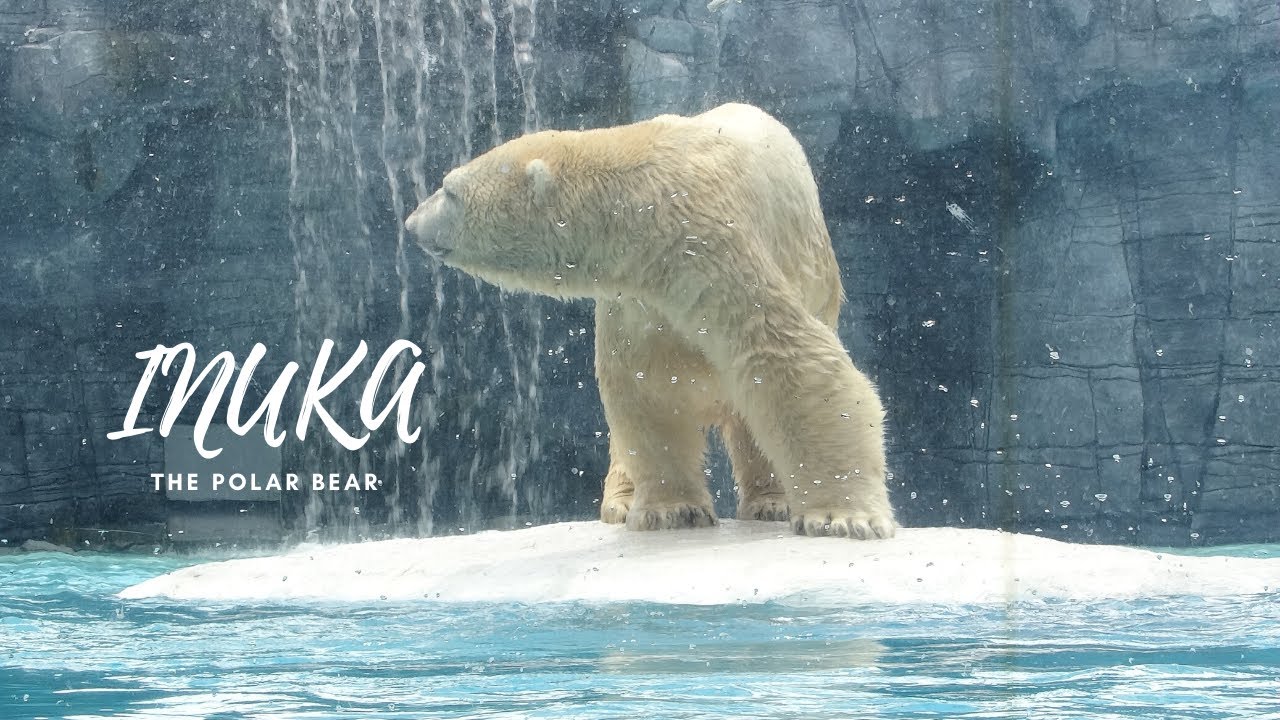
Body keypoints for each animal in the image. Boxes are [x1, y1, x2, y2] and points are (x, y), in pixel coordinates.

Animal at [405, 103, 896, 539]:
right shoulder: (636, 295)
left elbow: (787, 358)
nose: (410, 224)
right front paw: (671, 511)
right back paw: (622, 503)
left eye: (448, 189)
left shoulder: (710, 243)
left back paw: (772, 502)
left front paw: (842, 518)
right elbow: (648, 386)